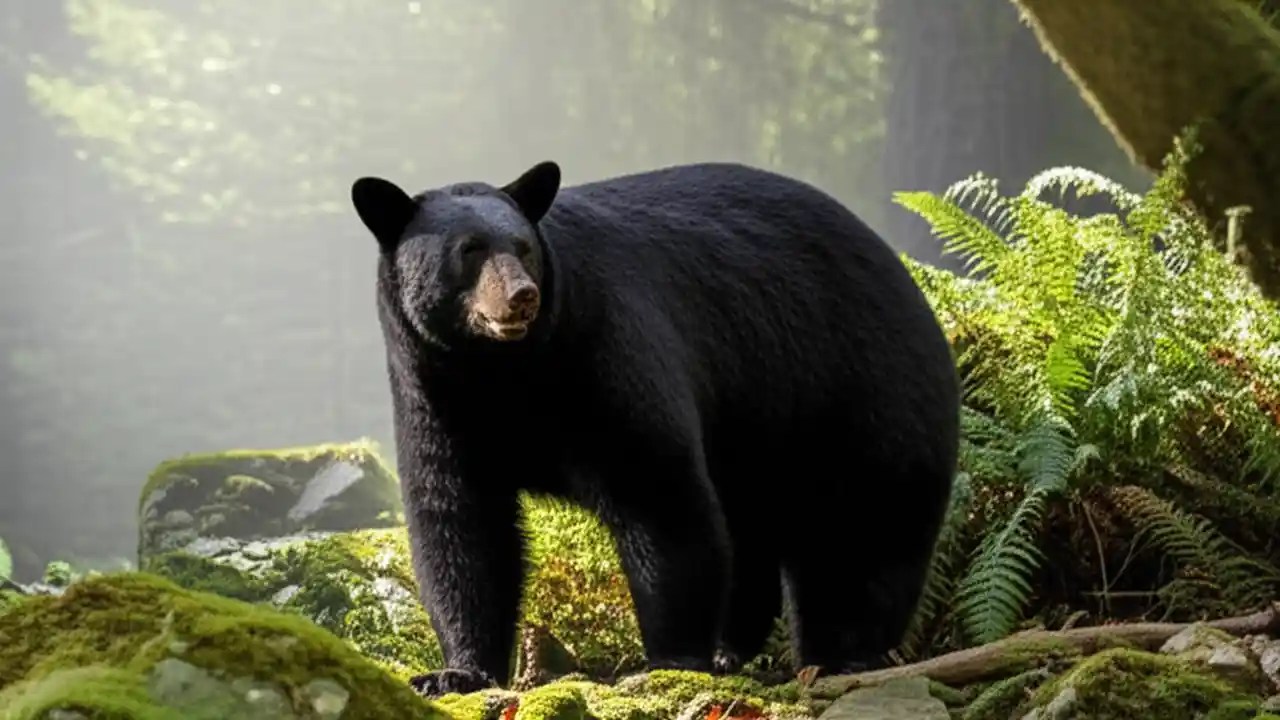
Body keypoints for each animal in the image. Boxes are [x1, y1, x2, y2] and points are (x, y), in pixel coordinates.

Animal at [349, 160, 960, 698]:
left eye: (524, 247)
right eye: (469, 250)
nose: (522, 296)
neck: (503, 374)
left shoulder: (604, 351)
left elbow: (657, 491)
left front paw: (673, 657)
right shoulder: (436, 399)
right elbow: (461, 526)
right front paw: (457, 672)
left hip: (860, 391)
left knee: (863, 533)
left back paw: (843, 652)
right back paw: (734, 648)